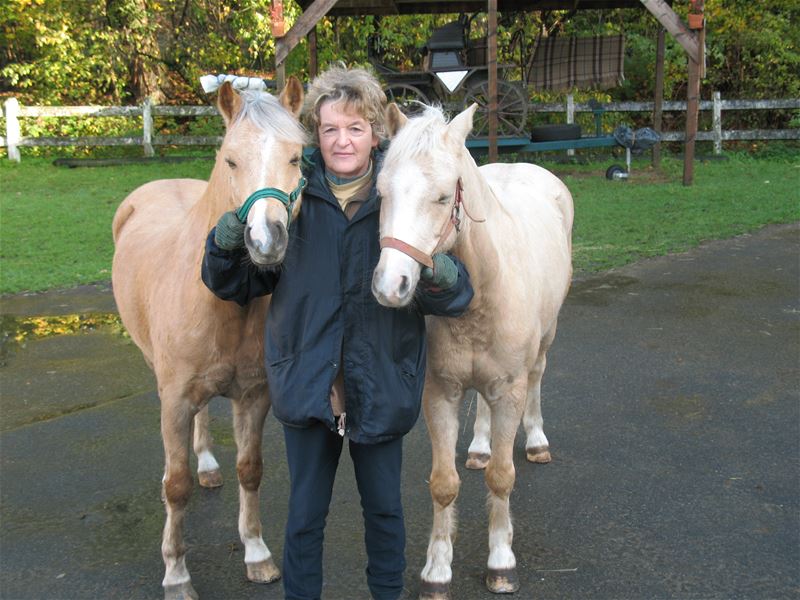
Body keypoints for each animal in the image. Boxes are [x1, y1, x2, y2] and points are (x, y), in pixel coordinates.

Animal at [109, 79, 304, 600]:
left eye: (298, 156)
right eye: (230, 160)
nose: (266, 241)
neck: (224, 301)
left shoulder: (254, 397)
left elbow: (250, 470)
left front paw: (256, 554)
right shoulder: (175, 398)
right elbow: (176, 487)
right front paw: (176, 575)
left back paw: (209, 465)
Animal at [372, 103, 572, 596]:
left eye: (444, 197)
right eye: (382, 193)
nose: (390, 285)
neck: (482, 291)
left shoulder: (510, 391)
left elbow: (502, 479)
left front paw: (501, 562)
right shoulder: (440, 393)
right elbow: (444, 483)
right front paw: (437, 569)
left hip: (545, 342)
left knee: (538, 377)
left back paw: (536, 440)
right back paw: (480, 447)